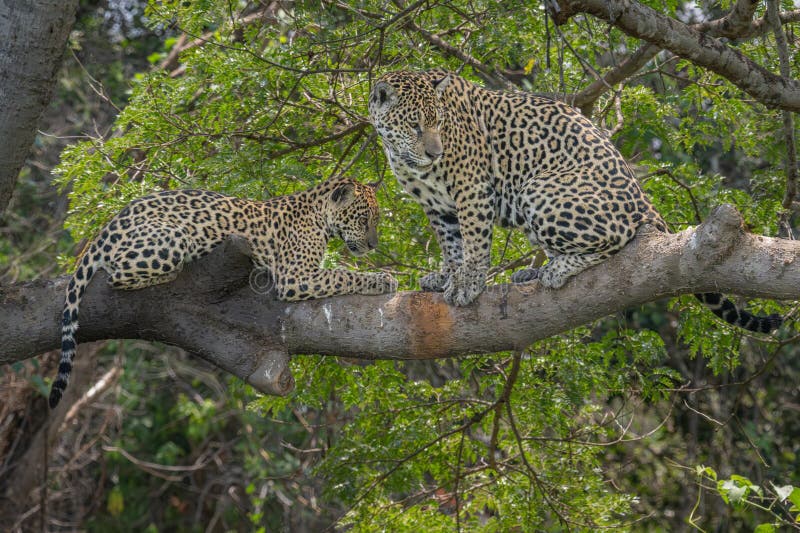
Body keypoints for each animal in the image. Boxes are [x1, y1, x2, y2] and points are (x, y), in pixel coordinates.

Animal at [49, 177, 397, 408]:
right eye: (363, 219)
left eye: (376, 219)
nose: (373, 244)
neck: (319, 216)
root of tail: (106, 227)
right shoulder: (294, 276)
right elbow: (342, 274)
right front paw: (383, 280)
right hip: (172, 238)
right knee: (116, 275)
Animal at [368, 68, 781, 333]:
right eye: (416, 126)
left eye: (439, 123)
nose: (435, 153)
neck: (400, 152)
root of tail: (645, 201)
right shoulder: (438, 206)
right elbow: (451, 244)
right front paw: (445, 276)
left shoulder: (471, 187)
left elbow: (473, 242)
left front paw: (468, 283)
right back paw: (533, 271)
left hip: (539, 188)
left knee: (617, 241)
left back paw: (556, 270)